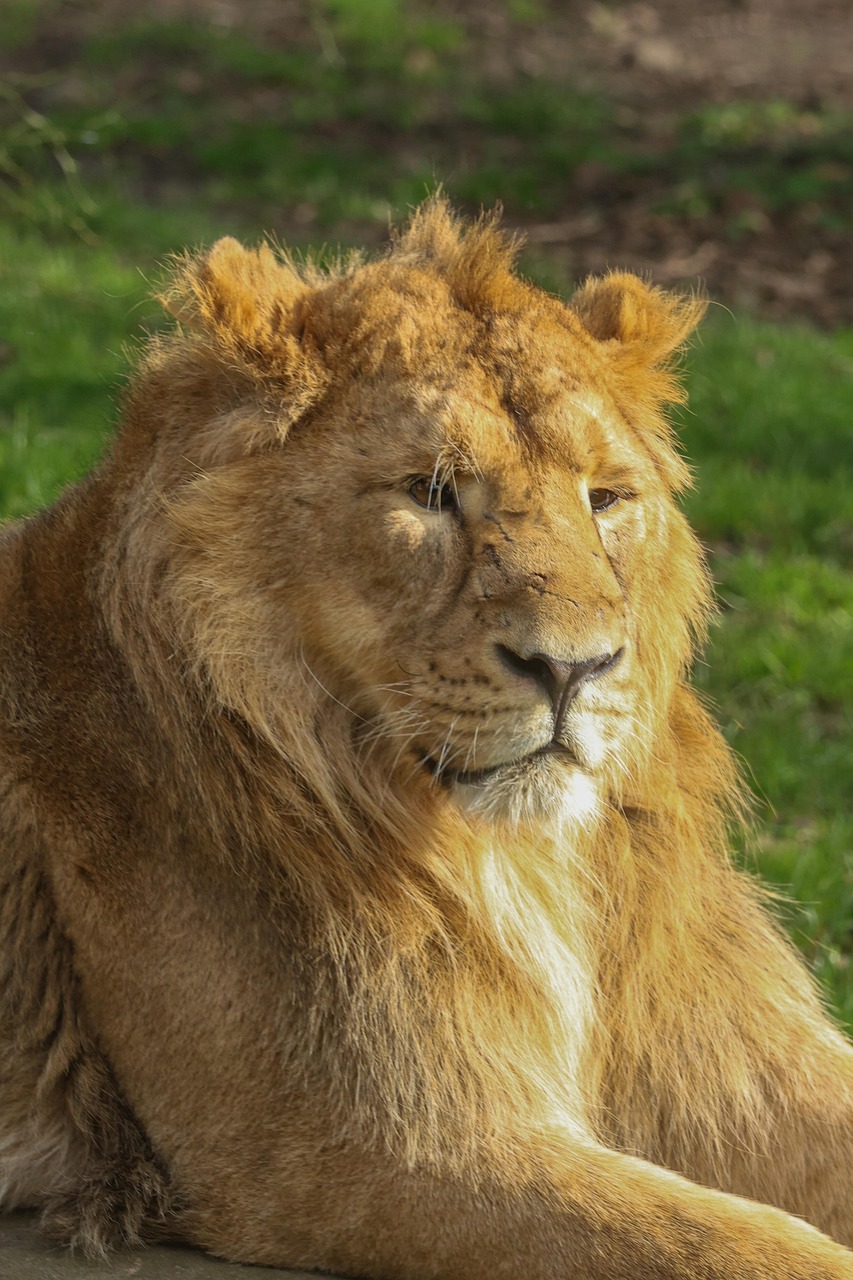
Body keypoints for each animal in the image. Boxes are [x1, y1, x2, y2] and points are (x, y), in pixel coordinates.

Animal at [0, 199, 851, 1280]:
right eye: (429, 492)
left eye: (606, 498)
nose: (572, 668)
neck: (520, 858)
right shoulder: (373, 1147)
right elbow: (735, 1244)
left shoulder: (723, 1058)